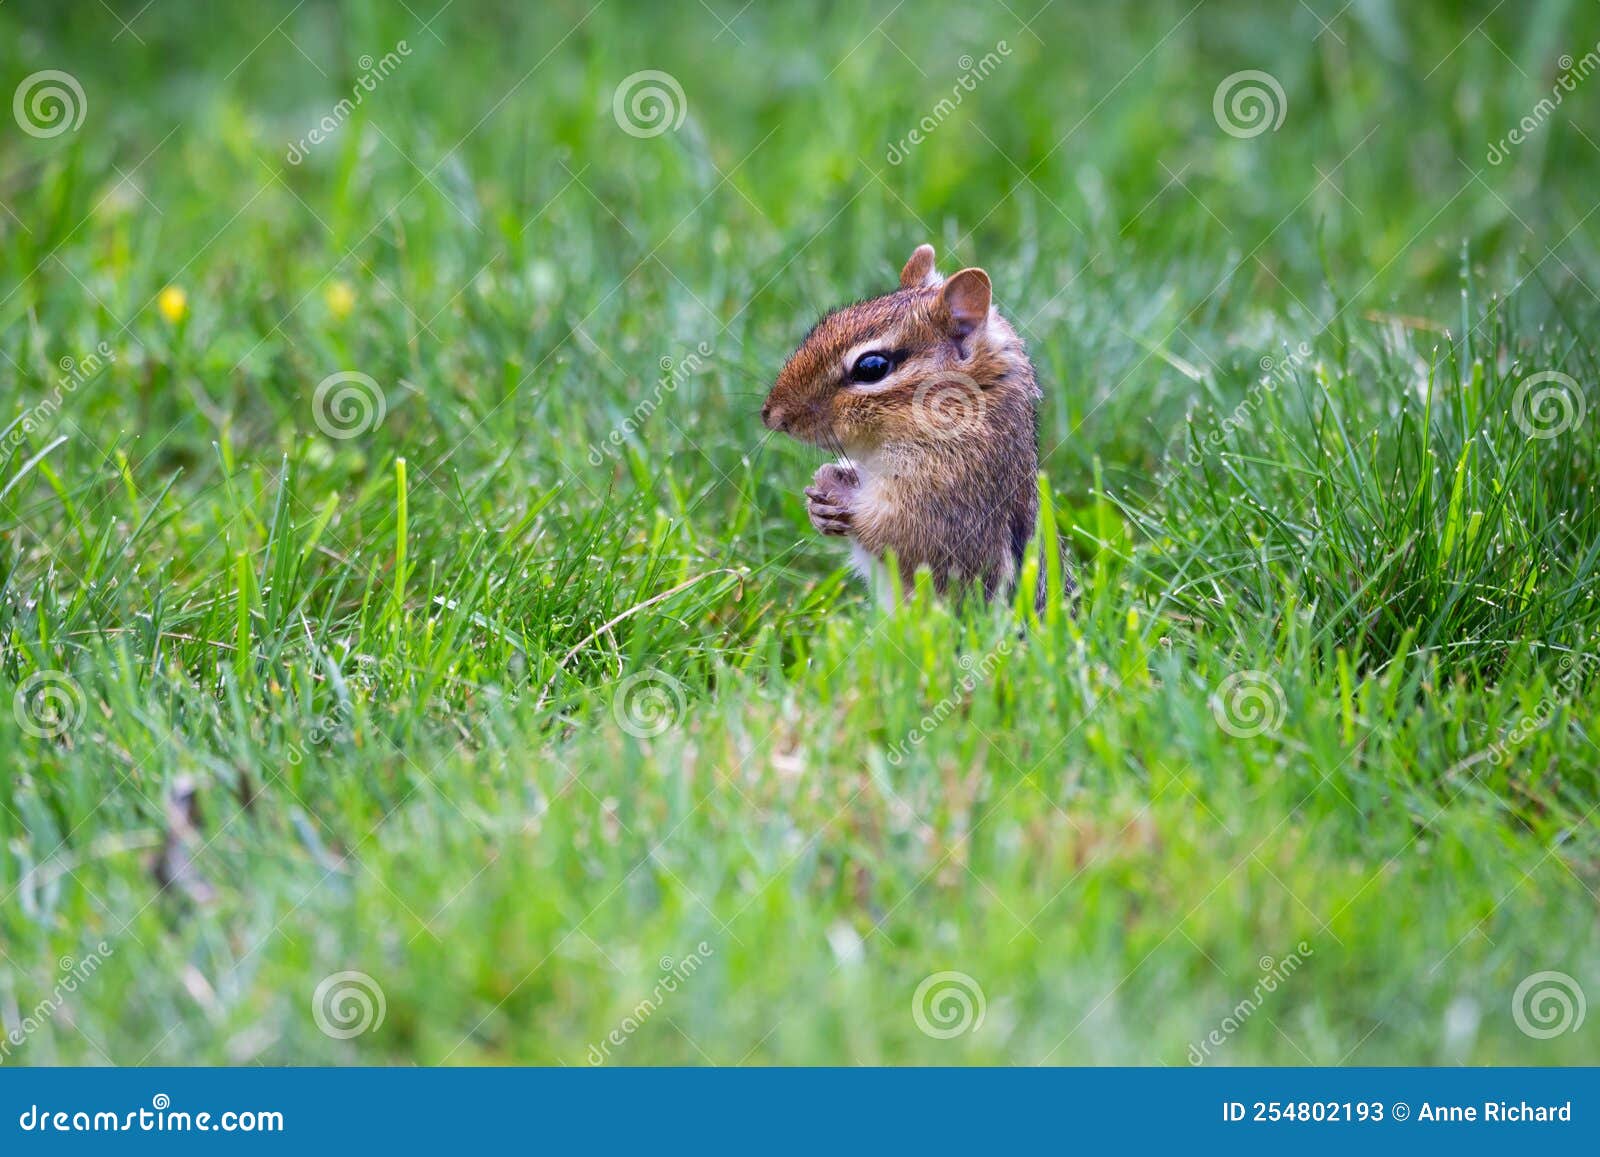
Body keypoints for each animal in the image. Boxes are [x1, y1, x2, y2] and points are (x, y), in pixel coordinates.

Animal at [762, 243, 1073, 609]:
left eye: (872, 367)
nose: (772, 415)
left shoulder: (950, 499)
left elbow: (900, 537)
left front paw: (837, 492)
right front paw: (820, 502)